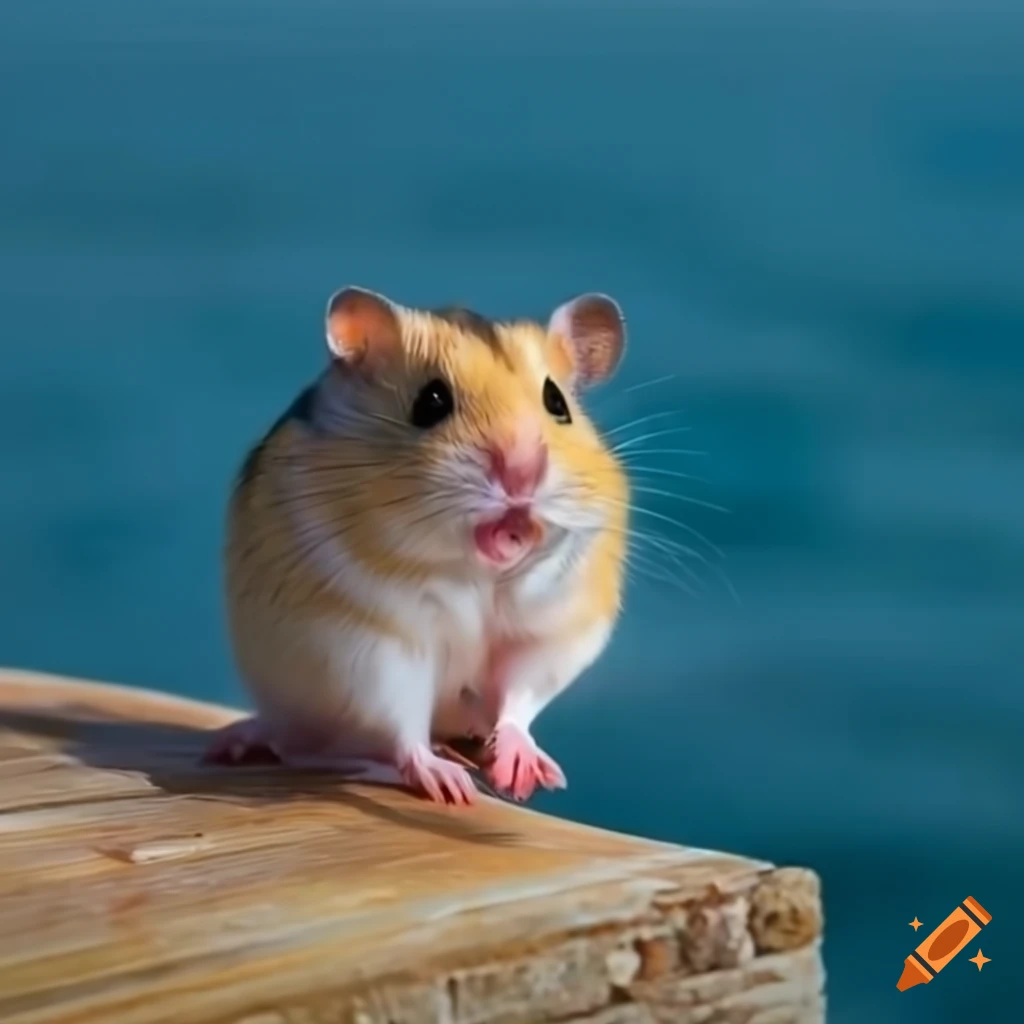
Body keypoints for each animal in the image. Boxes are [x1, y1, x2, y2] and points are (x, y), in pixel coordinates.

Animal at [205, 286, 629, 806]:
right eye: (431, 402)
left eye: (557, 402)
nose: (523, 474)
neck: (473, 571)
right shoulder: (372, 648)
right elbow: (401, 722)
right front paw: (450, 788)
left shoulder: (546, 636)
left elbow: (518, 700)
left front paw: (526, 776)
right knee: (307, 742)